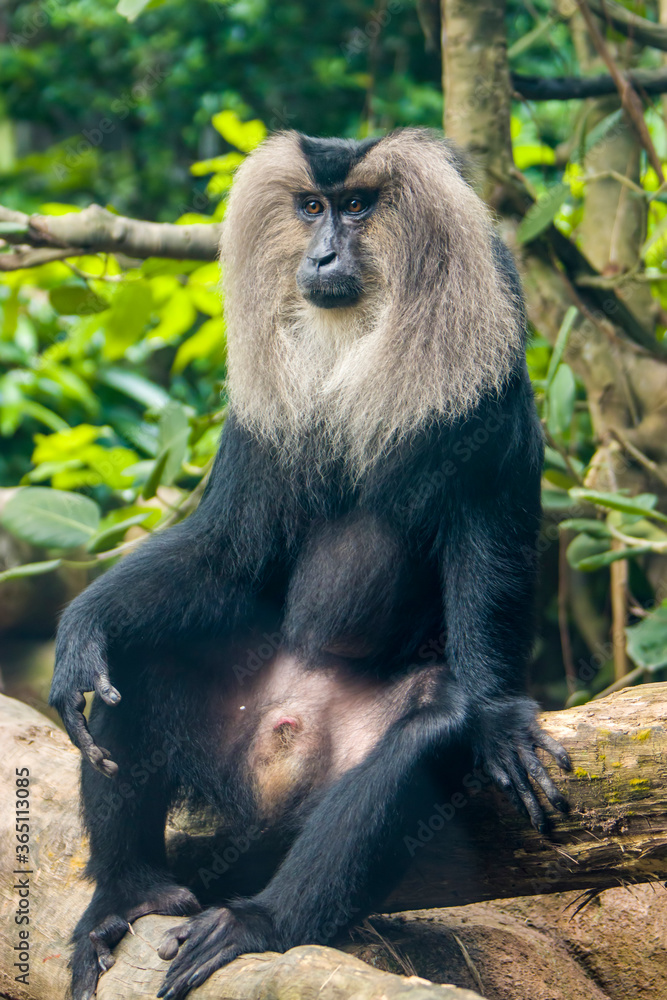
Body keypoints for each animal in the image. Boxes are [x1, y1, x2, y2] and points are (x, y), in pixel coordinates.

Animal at [49, 128, 571, 1000]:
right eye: (310, 206)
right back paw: (130, 894)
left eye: (357, 206)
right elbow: (230, 550)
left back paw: (261, 924)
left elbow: (487, 554)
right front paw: (81, 629)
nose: (324, 254)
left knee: (430, 728)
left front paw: (501, 716)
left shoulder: (488, 386)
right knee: (143, 654)